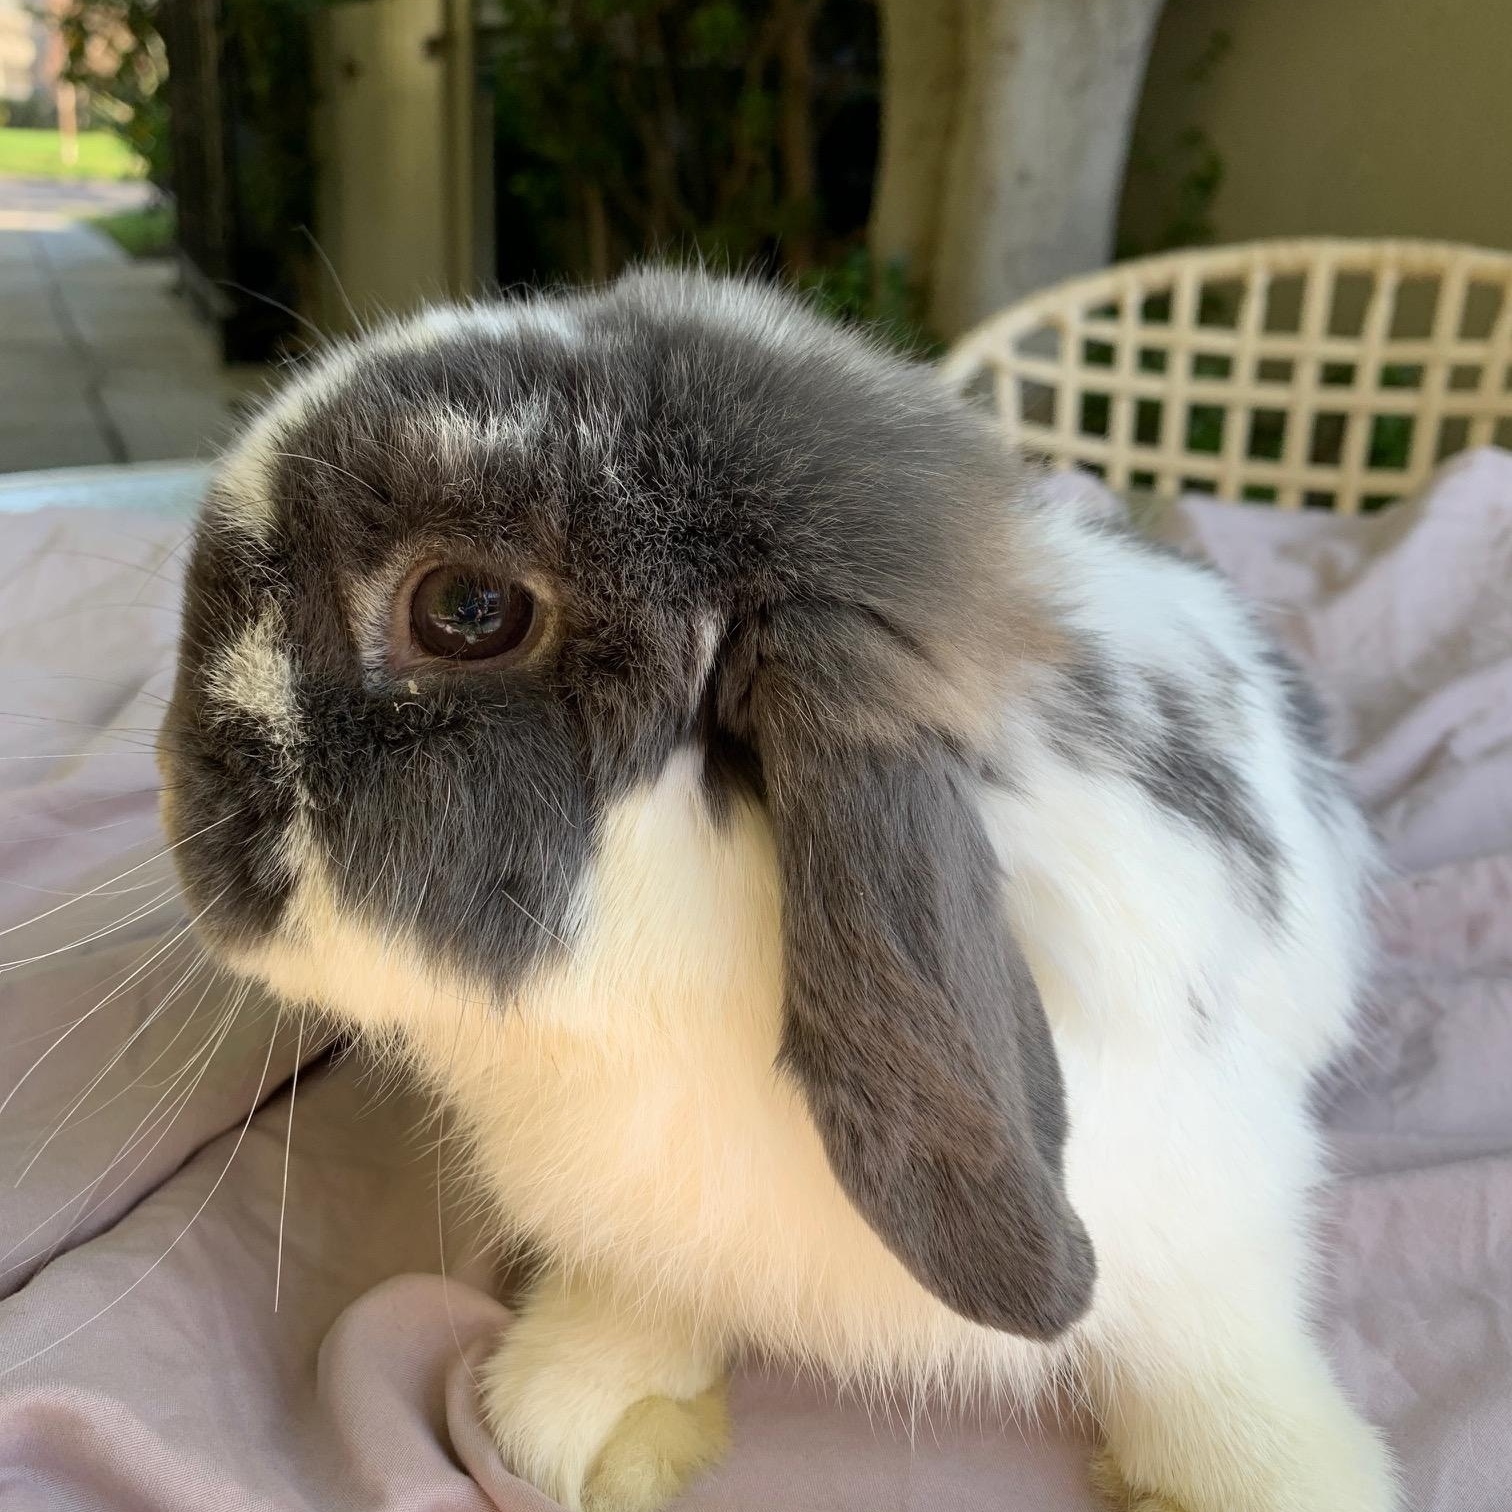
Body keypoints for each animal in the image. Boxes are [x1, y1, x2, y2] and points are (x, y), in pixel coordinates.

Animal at [159, 268, 1398, 1512]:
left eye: (465, 609)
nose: (179, 786)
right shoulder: (637, 1230)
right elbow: (639, 1310)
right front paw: (578, 1414)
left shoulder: (1211, 1227)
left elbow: (1211, 1364)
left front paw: (1276, 1478)